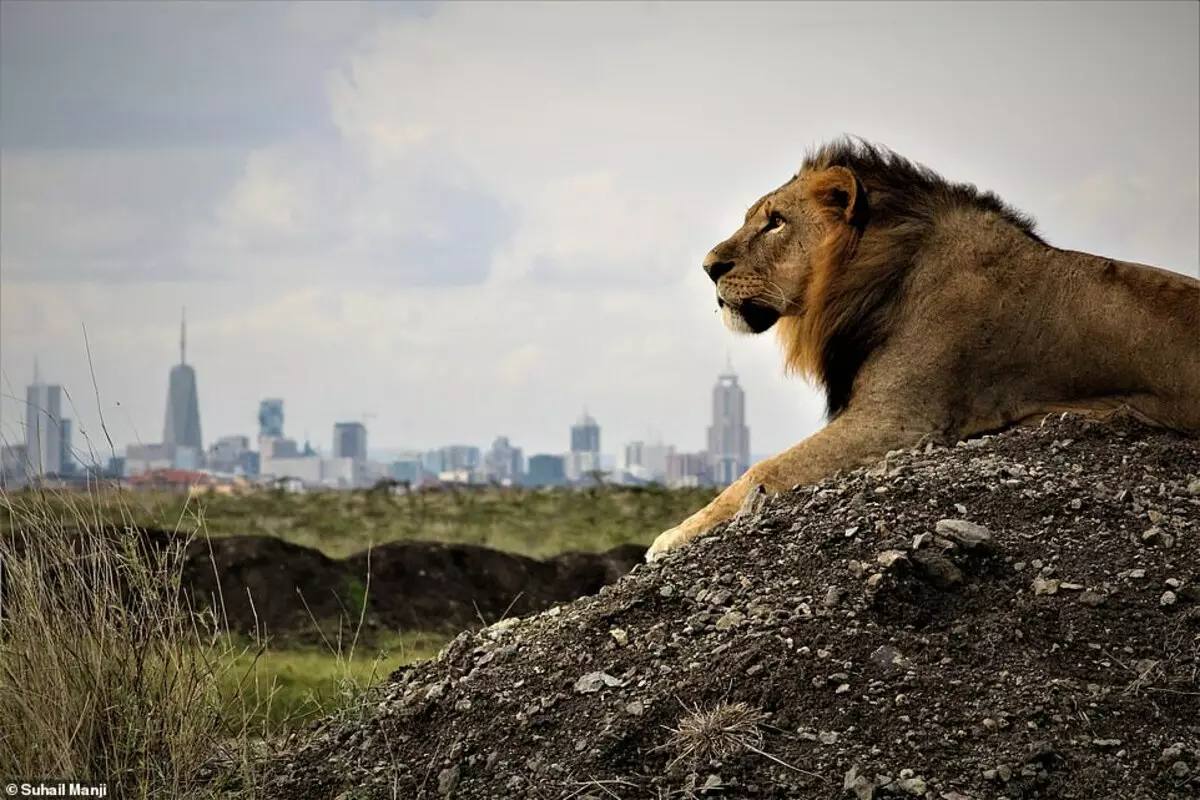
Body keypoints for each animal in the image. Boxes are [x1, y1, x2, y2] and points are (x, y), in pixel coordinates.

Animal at [648, 137, 1200, 561]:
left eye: (776, 221)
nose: (708, 267)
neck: (883, 274)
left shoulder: (898, 420)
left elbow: (762, 469)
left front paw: (669, 537)